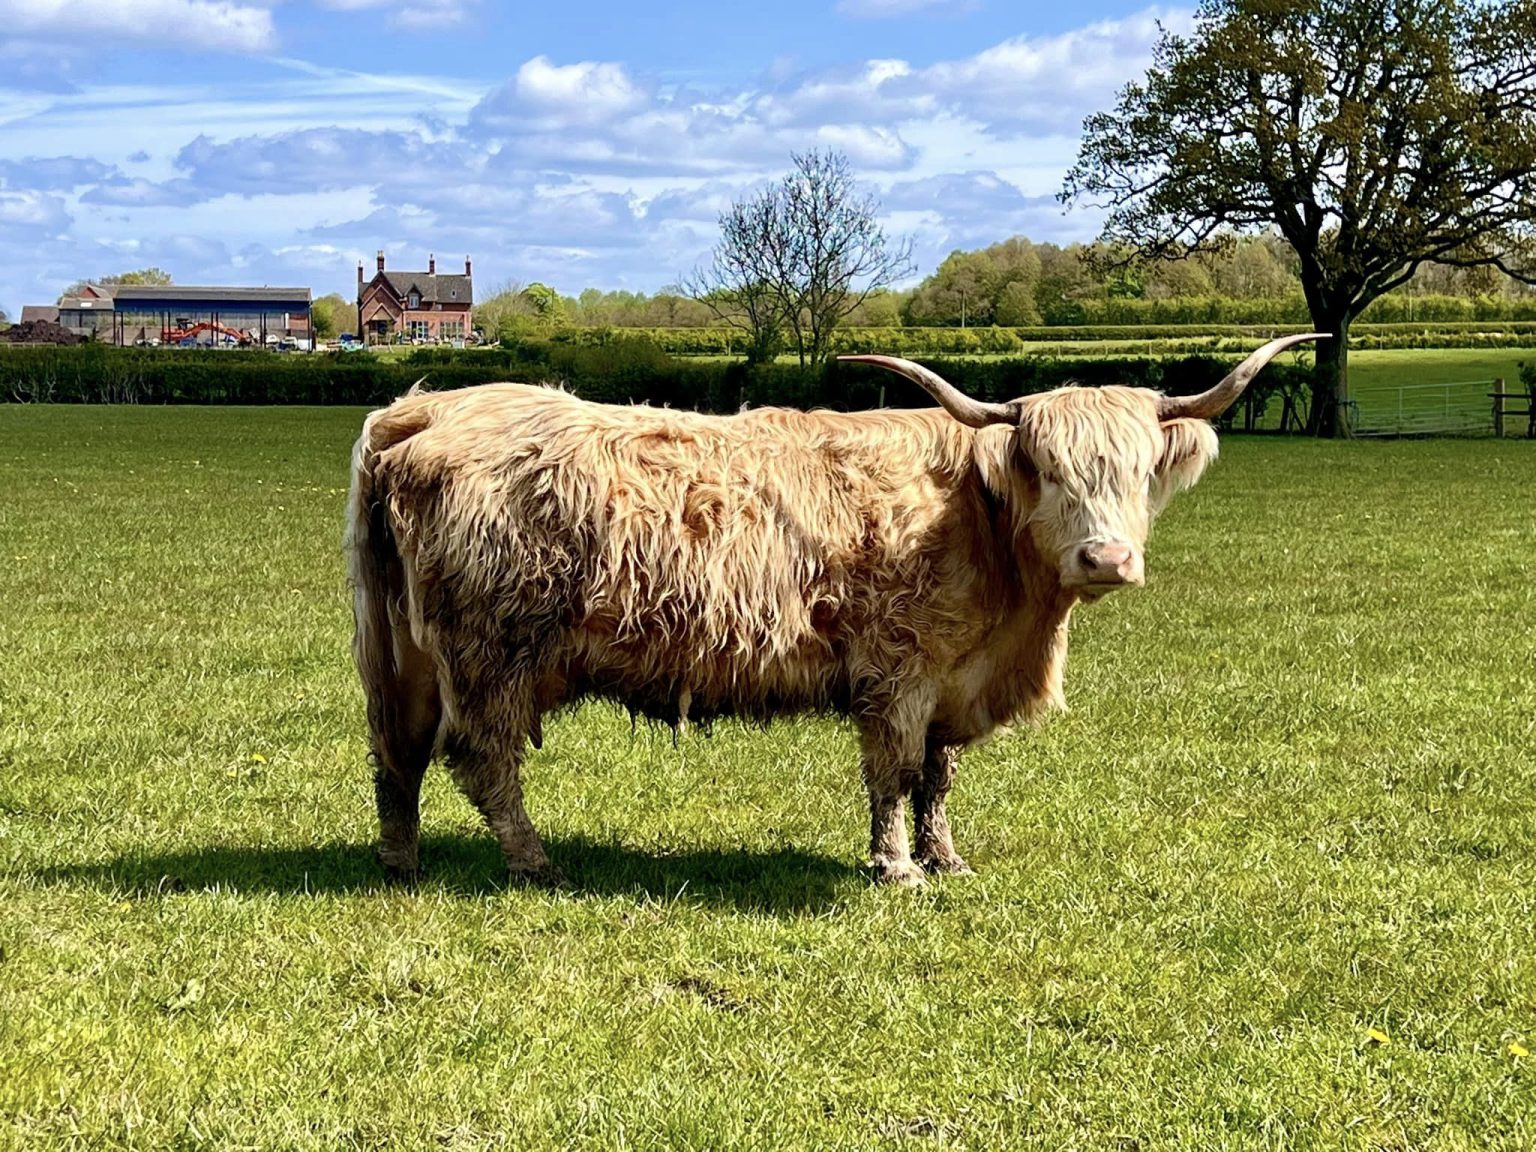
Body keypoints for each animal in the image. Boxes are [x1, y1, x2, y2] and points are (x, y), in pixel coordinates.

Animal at [346, 333, 1324, 886]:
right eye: (1047, 468)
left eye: (1136, 472)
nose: (1108, 558)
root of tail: (425, 410)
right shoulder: (900, 673)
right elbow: (893, 774)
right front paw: (897, 870)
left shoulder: (951, 682)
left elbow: (936, 779)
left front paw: (946, 857)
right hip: (492, 651)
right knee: (482, 759)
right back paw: (533, 861)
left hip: (408, 653)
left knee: (397, 753)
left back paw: (401, 862)